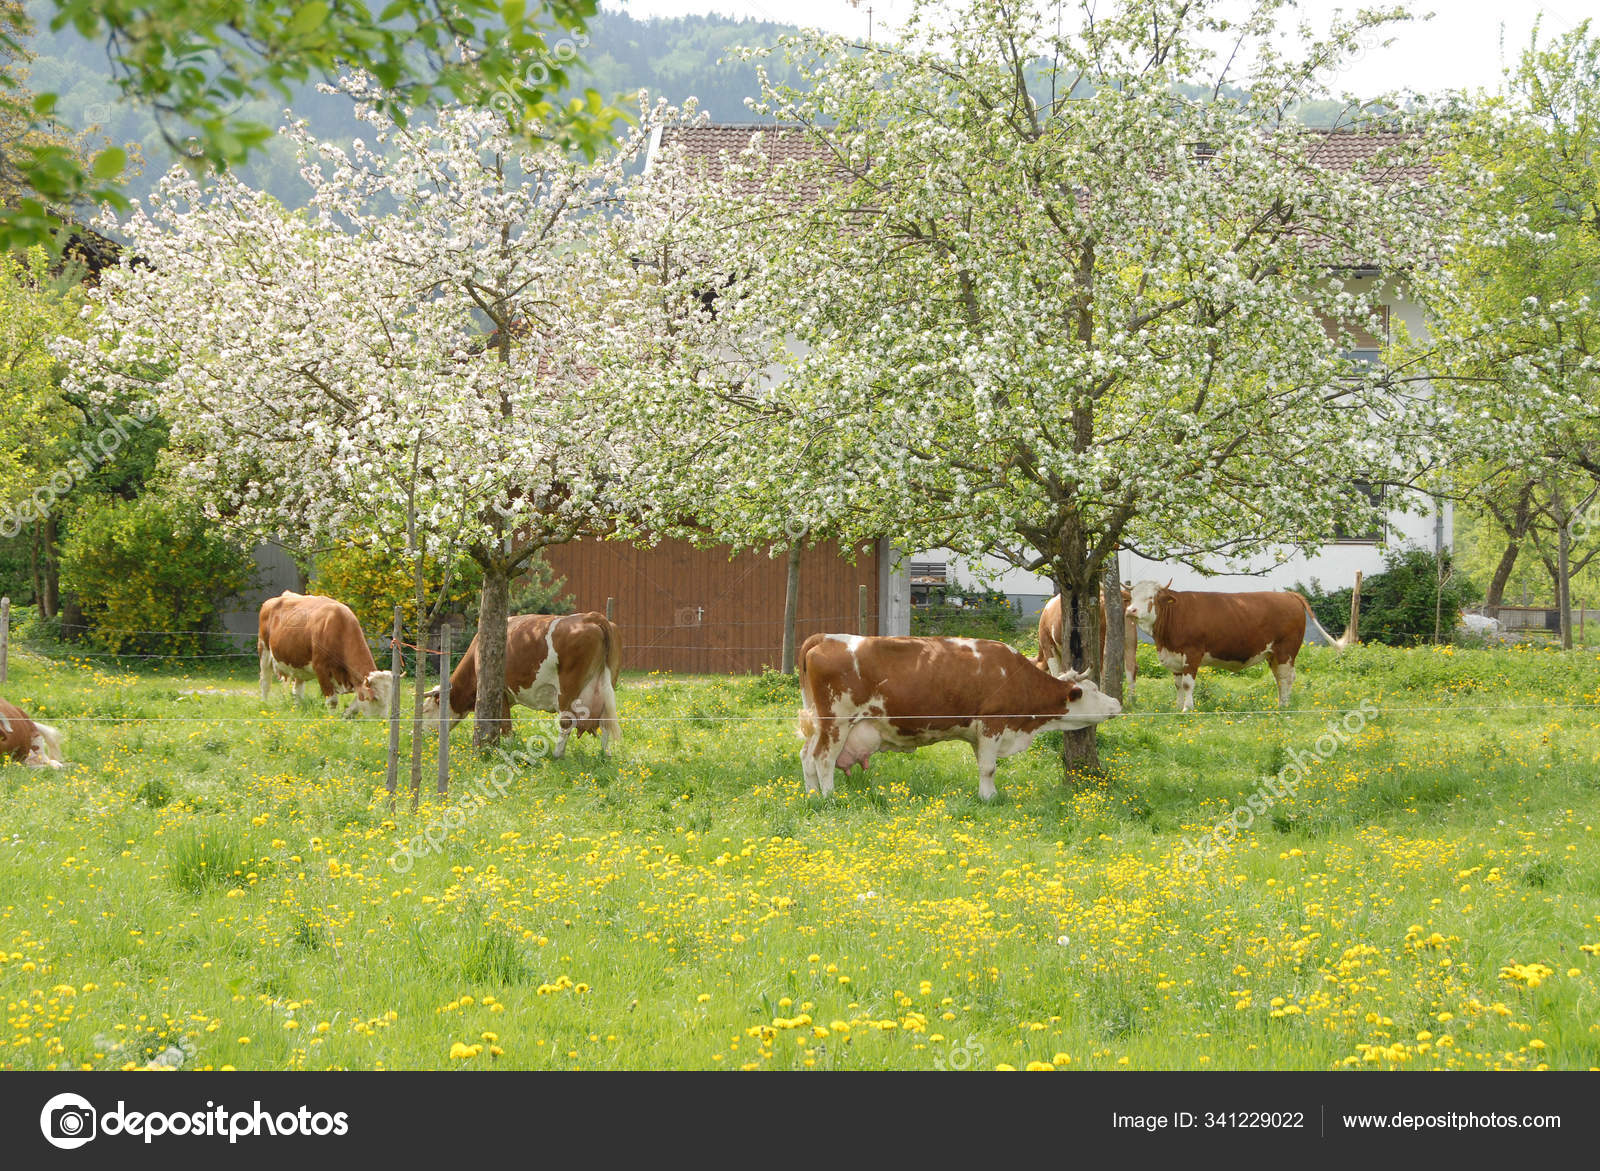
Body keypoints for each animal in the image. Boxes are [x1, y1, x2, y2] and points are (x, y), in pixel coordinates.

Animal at [257, 591, 396, 718]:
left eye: (390, 699)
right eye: (375, 698)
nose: (383, 721)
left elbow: (356, 703)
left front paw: (345, 715)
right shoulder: (321, 669)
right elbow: (332, 701)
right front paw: (332, 719)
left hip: (298, 661)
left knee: (297, 690)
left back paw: (297, 709)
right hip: (264, 651)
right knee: (265, 682)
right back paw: (264, 704)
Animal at [422, 612, 622, 758]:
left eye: (425, 710)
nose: (421, 734)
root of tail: (591, 616)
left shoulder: (500, 693)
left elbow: (506, 727)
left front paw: (506, 751)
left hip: (567, 691)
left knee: (566, 722)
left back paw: (557, 755)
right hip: (605, 686)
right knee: (605, 722)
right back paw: (604, 755)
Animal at [796, 633, 1122, 800]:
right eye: (1094, 690)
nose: (1117, 703)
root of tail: (825, 638)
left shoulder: (979, 733)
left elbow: (984, 767)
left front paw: (989, 795)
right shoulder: (993, 723)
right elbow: (989, 768)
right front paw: (988, 799)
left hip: (818, 724)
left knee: (807, 757)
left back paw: (812, 796)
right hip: (836, 723)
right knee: (823, 759)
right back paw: (830, 797)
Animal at [1124, 580, 1354, 712]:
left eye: (1150, 597)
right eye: (1132, 597)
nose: (1131, 610)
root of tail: (1287, 594)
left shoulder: (1192, 653)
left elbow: (1188, 685)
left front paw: (1187, 709)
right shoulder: (1175, 657)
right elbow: (1179, 685)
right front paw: (1177, 707)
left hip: (1286, 651)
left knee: (1287, 678)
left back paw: (1284, 706)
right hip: (1273, 654)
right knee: (1280, 679)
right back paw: (1280, 704)